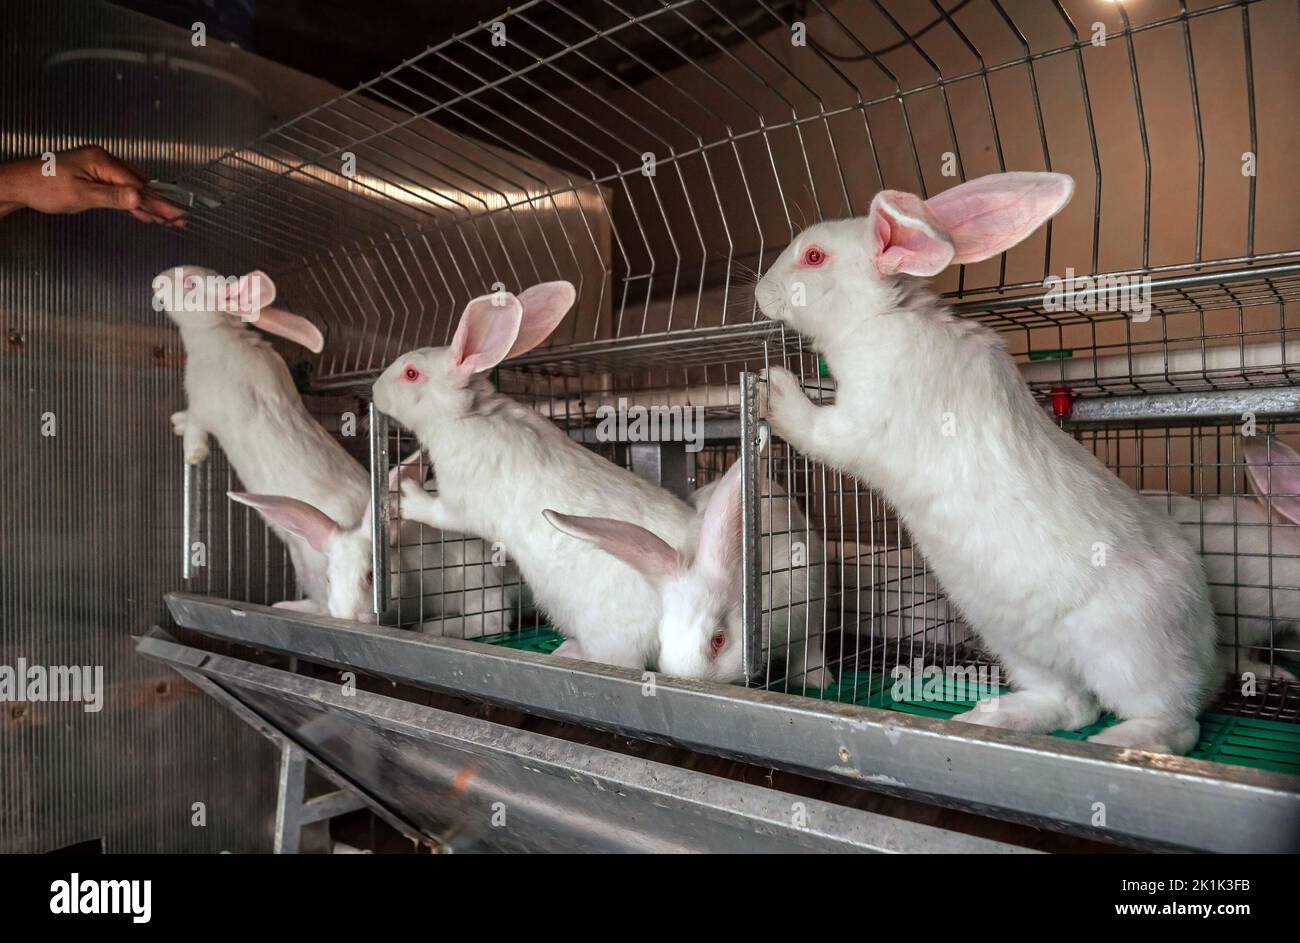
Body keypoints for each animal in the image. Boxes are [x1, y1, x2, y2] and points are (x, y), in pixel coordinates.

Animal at [231, 453, 517, 635]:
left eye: (371, 576)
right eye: (328, 579)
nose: (349, 618)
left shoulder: (483, 591)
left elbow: (488, 623)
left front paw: (424, 627)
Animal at [371, 283, 700, 670]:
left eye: (411, 373)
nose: (374, 391)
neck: (466, 416)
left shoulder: (462, 503)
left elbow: (438, 513)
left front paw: (406, 497)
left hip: (612, 635)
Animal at [545, 456, 833, 689]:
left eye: (718, 640)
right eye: (661, 636)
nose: (692, 679)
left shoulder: (808, 609)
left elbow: (808, 650)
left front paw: (817, 680)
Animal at [754, 172, 1217, 755]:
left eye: (813, 256)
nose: (757, 291)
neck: (880, 317)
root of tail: (1208, 644)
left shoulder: (857, 424)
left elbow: (817, 431)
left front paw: (774, 388)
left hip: (1129, 656)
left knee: (1173, 721)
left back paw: (1121, 741)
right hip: (1017, 648)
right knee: (1071, 705)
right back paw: (990, 717)